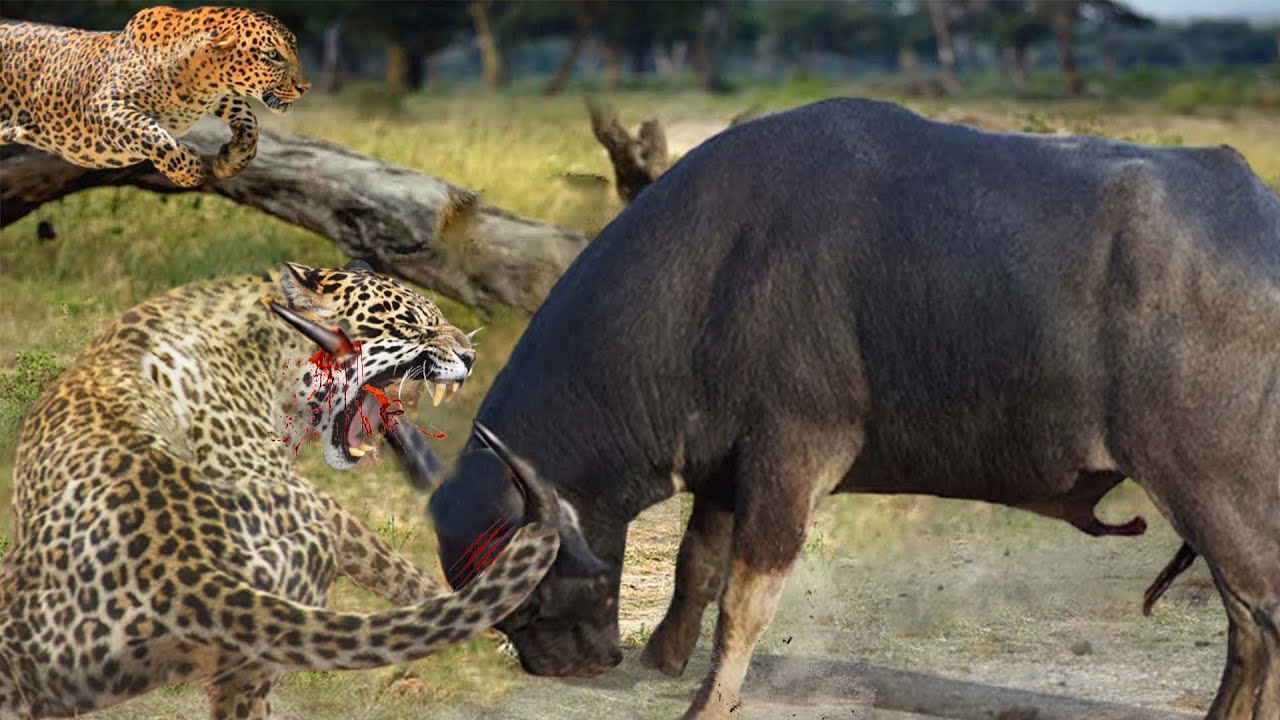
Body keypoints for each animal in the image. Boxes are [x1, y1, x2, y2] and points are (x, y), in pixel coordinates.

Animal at [0, 5, 310, 188]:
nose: (305, 87)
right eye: (272, 55)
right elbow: (152, 135)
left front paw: (230, 161)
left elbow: (248, 119)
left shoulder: (218, 97)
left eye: (293, 48)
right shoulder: (104, 105)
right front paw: (190, 170)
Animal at [0, 261, 561, 720]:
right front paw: (494, 634)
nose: (470, 355)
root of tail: (182, 567)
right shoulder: (323, 504)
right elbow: (389, 561)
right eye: (411, 326)